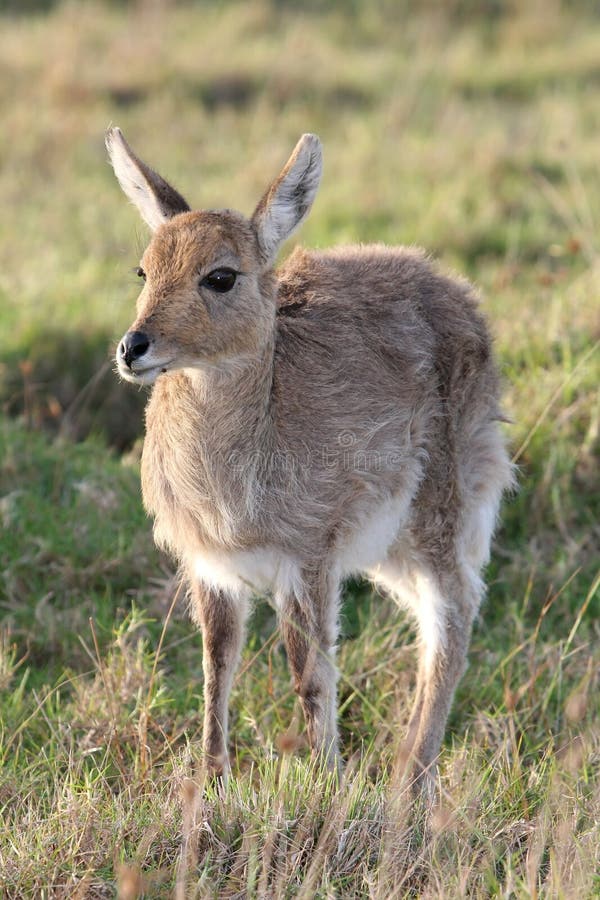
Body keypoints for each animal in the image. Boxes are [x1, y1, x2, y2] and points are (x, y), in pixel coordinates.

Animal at [106, 127, 513, 789]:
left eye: (221, 275)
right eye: (144, 267)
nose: (133, 347)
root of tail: (456, 289)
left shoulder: (310, 558)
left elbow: (310, 673)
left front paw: (325, 785)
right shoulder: (210, 566)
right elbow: (216, 667)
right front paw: (211, 785)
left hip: (437, 513)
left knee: (454, 612)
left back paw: (409, 780)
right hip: (389, 548)